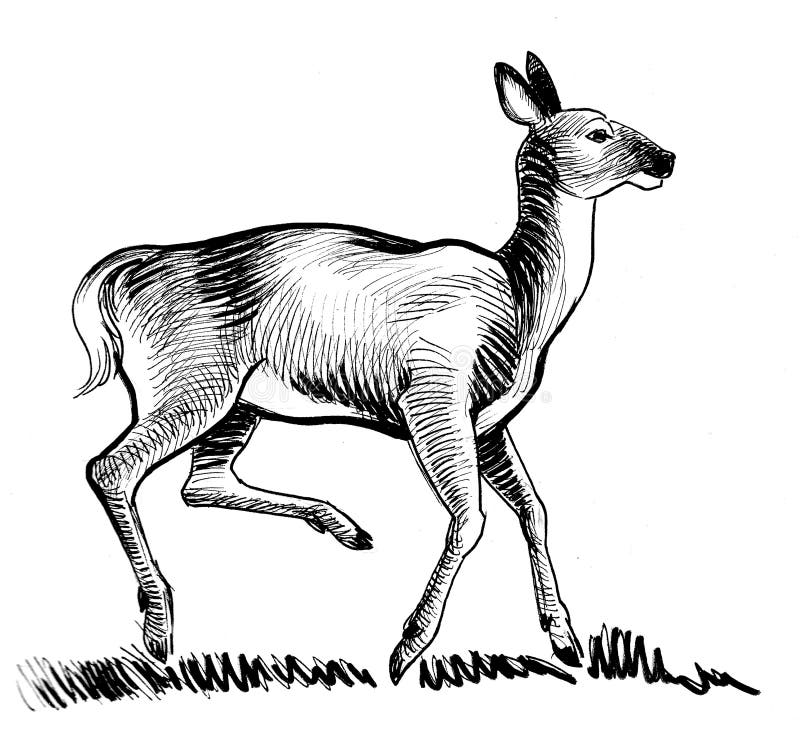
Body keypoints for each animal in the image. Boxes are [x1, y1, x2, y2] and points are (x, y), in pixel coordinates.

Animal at [73, 52, 674, 684]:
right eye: (598, 131)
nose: (666, 158)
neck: (522, 297)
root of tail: (120, 275)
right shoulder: (432, 399)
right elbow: (471, 518)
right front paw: (408, 647)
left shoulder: (488, 421)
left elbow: (533, 508)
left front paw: (564, 639)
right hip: (192, 382)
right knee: (109, 467)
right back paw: (158, 627)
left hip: (236, 400)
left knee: (202, 483)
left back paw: (342, 527)